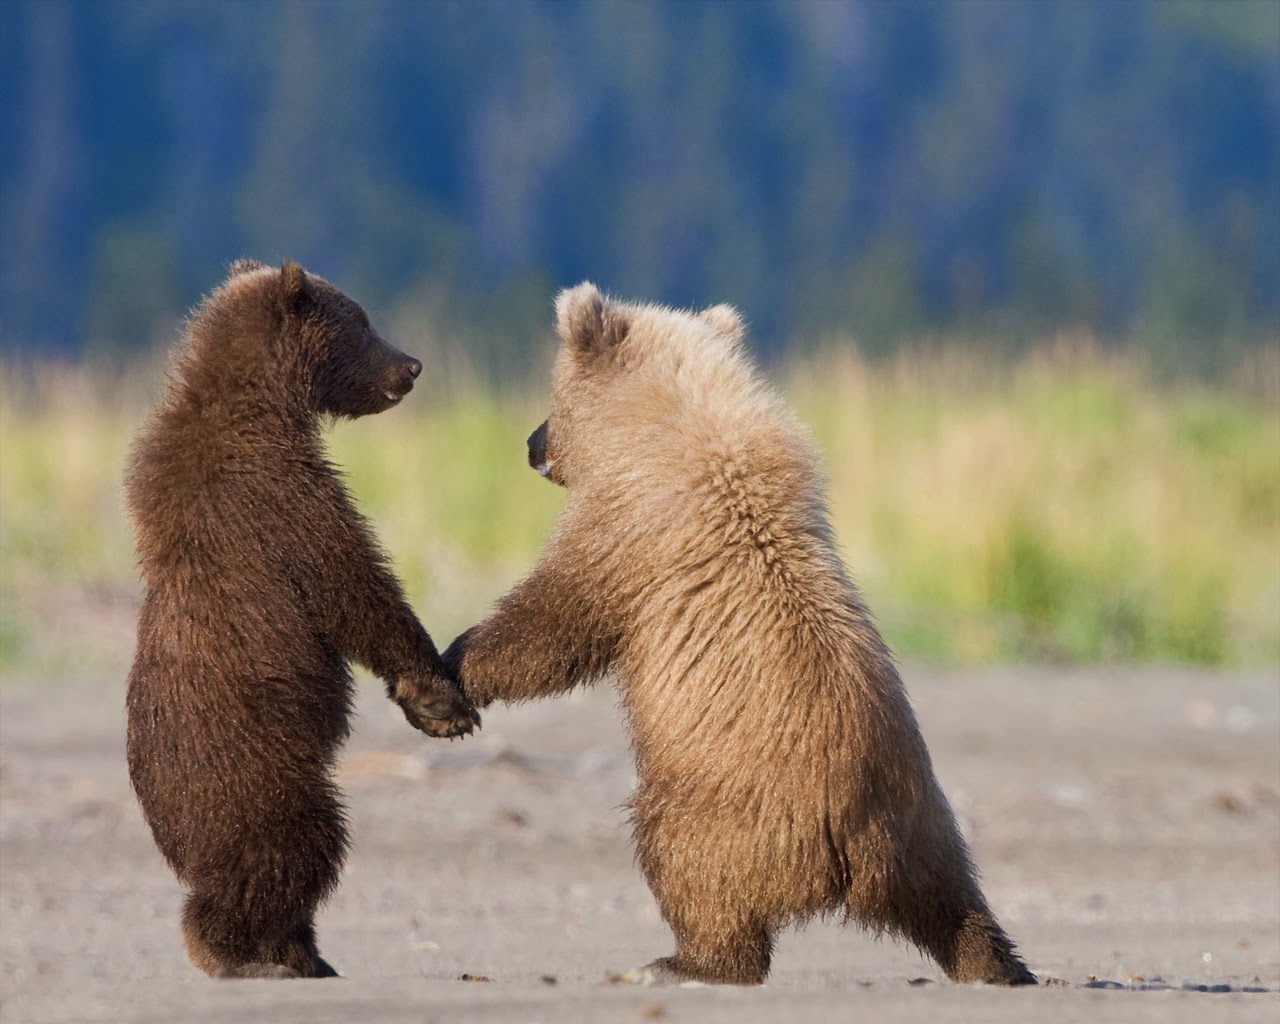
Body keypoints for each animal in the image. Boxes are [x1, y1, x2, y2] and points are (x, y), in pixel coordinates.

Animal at [124, 260, 479, 979]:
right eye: (363, 321)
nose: (412, 365)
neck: (264, 403)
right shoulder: (277, 493)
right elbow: (350, 584)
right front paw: (437, 698)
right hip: (259, 774)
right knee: (295, 847)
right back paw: (250, 951)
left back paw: (302, 951)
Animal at [443, 283, 1036, 987]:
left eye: (552, 395)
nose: (531, 443)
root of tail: (857, 841)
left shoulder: (633, 532)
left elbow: (556, 622)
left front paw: (455, 665)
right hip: (927, 824)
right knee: (953, 900)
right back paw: (999, 964)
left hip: (726, 807)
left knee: (686, 864)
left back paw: (685, 959)